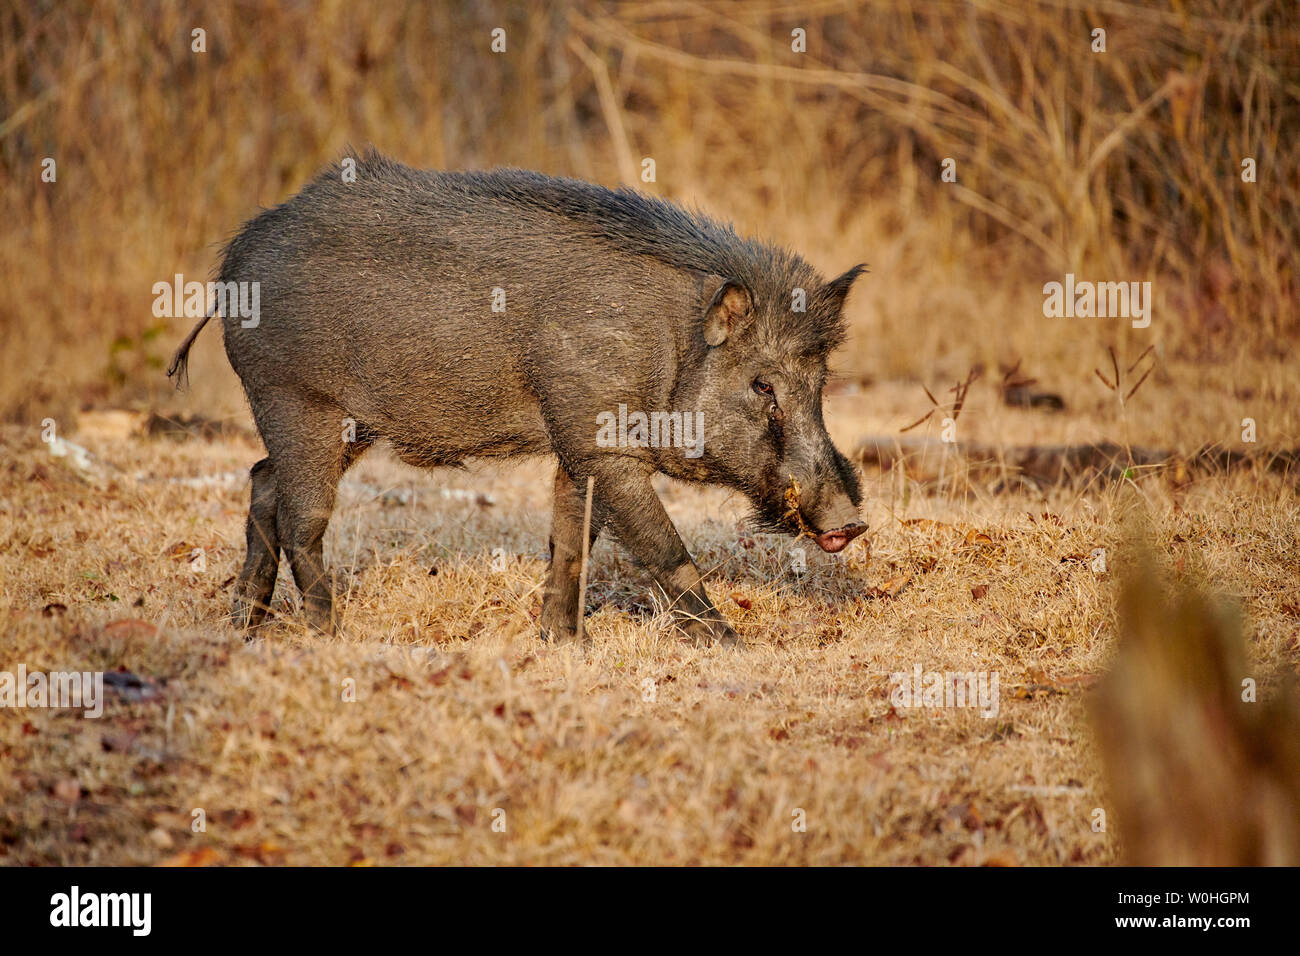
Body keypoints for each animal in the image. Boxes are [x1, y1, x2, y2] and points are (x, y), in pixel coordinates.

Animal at [169, 151, 868, 646]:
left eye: (820, 384)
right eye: (762, 384)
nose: (852, 521)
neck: (672, 347)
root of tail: (231, 267)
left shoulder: (576, 453)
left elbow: (569, 544)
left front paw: (563, 644)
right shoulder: (603, 448)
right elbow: (665, 551)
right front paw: (735, 646)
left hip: (342, 425)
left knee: (262, 481)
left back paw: (244, 626)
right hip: (295, 401)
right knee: (300, 519)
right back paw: (329, 634)